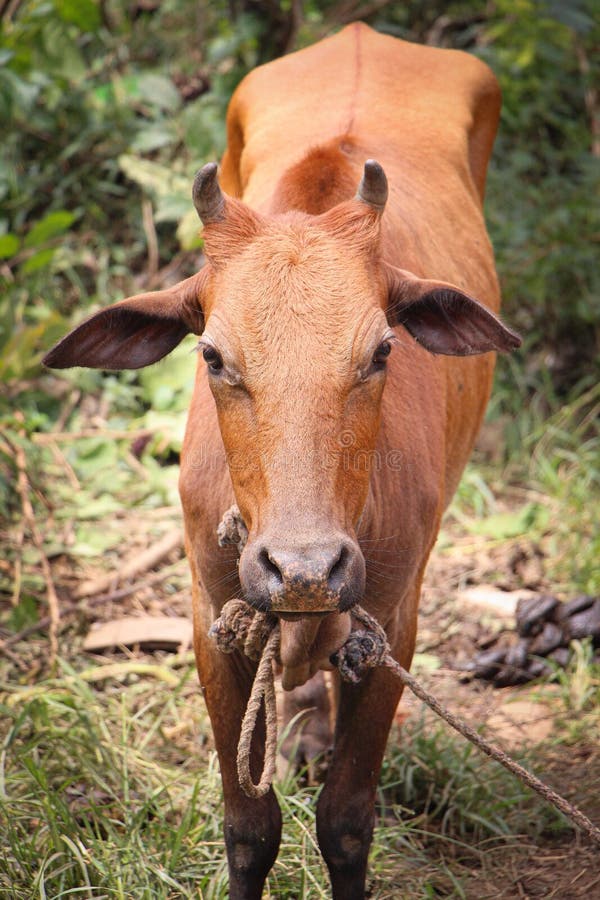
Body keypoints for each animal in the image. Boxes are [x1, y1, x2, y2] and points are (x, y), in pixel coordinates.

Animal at [44, 22, 520, 900]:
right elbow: (248, 825)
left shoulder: (390, 623)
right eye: (213, 355)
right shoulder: (213, 614)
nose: (305, 568)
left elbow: (346, 821)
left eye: (382, 350)